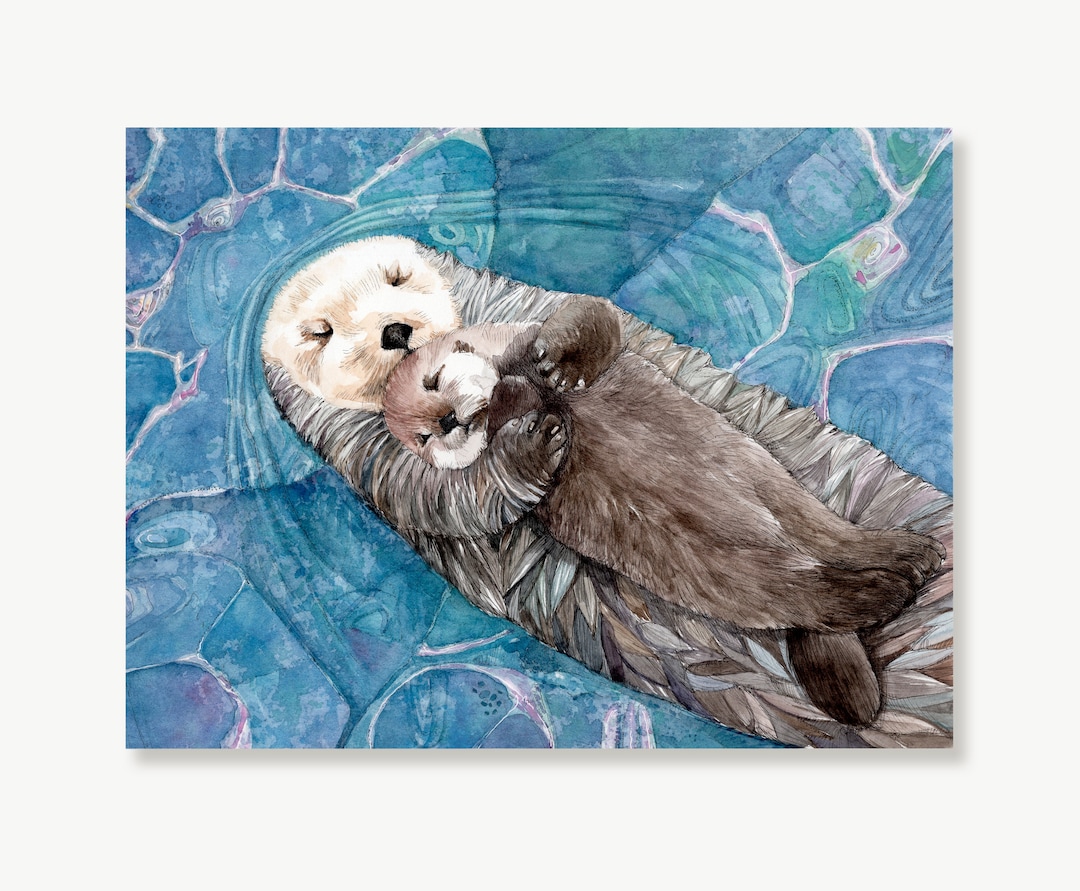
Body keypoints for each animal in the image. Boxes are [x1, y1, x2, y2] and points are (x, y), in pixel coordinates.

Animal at [381, 295, 945, 726]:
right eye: (422, 438)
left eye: (434, 380)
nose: (448, 421)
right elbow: (507, 430)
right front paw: (518, 405)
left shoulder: (531, 330)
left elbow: (592, 318)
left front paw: (558, 367)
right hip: (724, 571)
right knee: (810, 592)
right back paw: (891, 586)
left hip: (775, 483)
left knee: (834, 538)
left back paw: (910, 552)